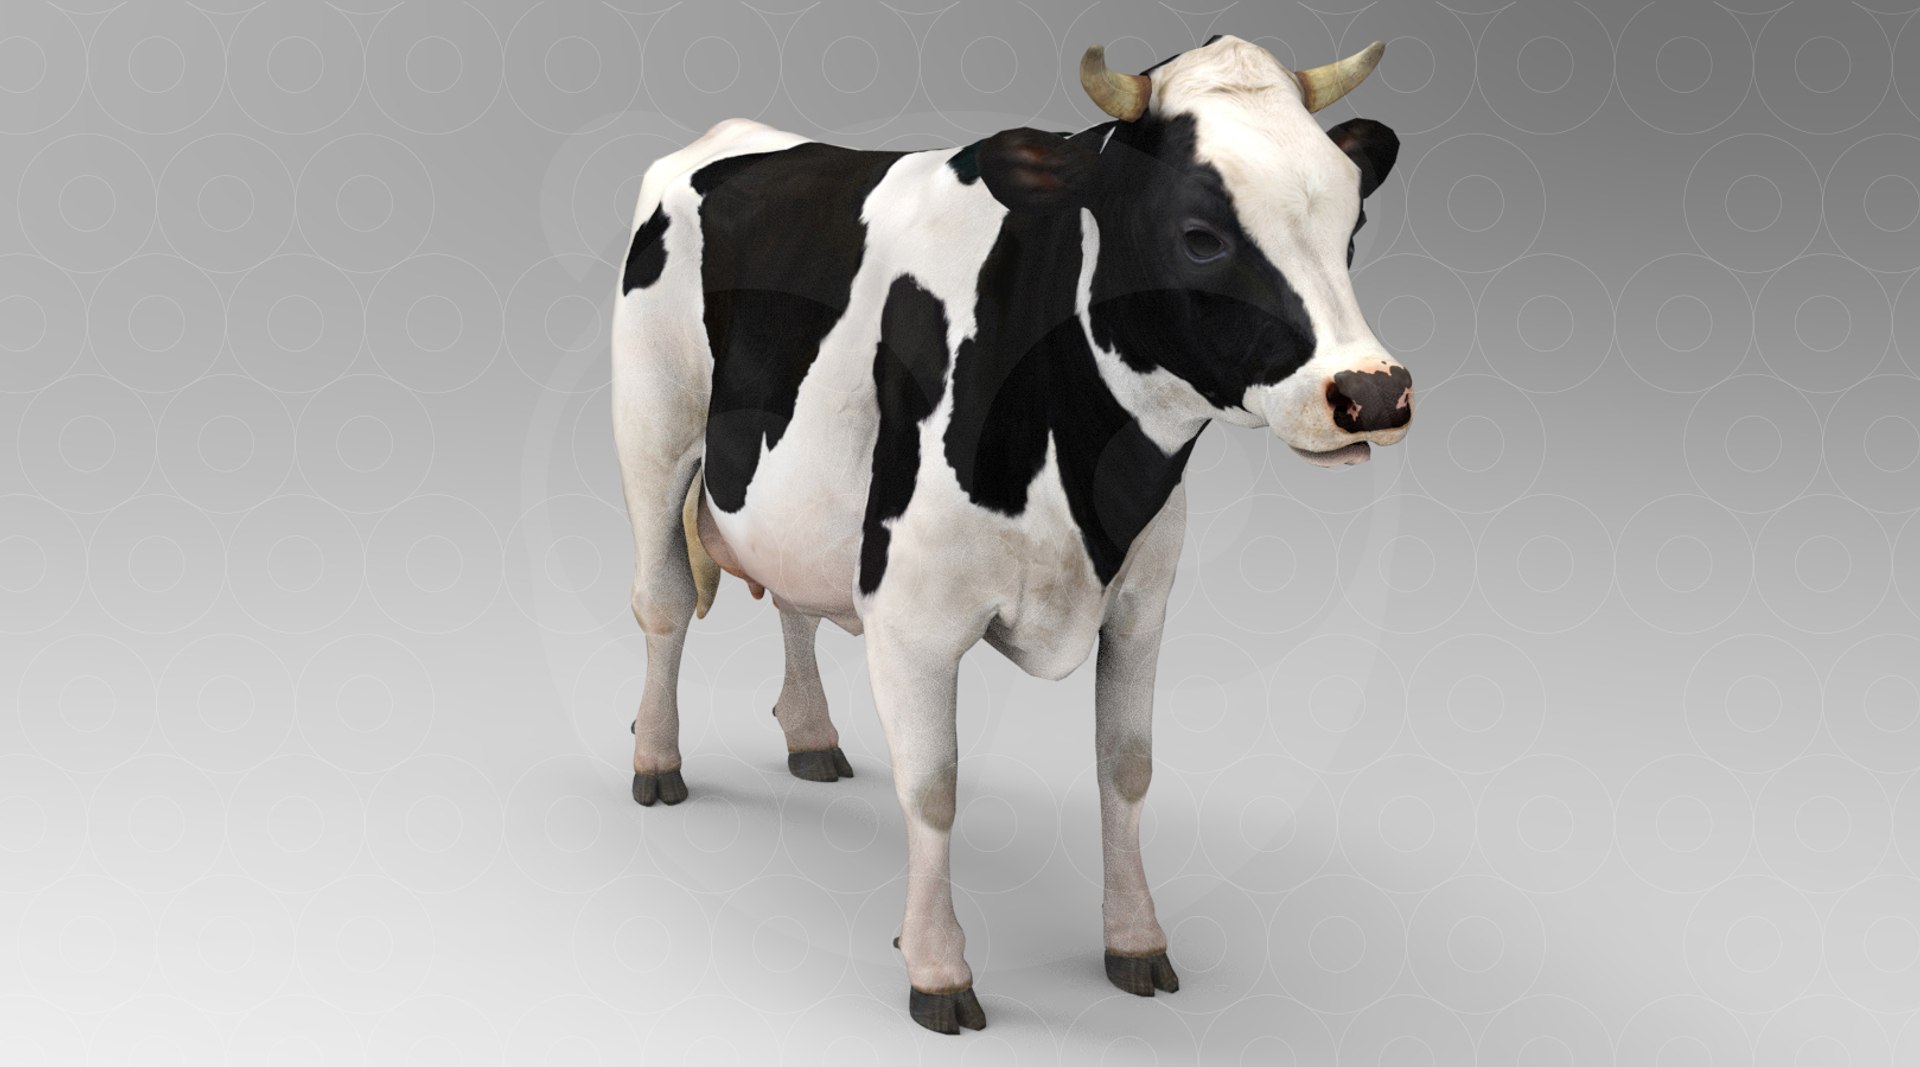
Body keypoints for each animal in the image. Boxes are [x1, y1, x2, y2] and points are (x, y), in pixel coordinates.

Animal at [610, 34, 1408, 1033]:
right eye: (1201, 235)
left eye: (1353, 226)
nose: (1374, 393)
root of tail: (730, 137)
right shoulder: (912, 618)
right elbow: (933, 784)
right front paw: (938, 968)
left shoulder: (1142, 603)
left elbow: (1127, 767)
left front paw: (1135, 939)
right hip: (654, 429)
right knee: (663, 601)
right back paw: (657, 759)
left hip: (795, 492)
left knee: (793, 595)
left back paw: (812, 740)